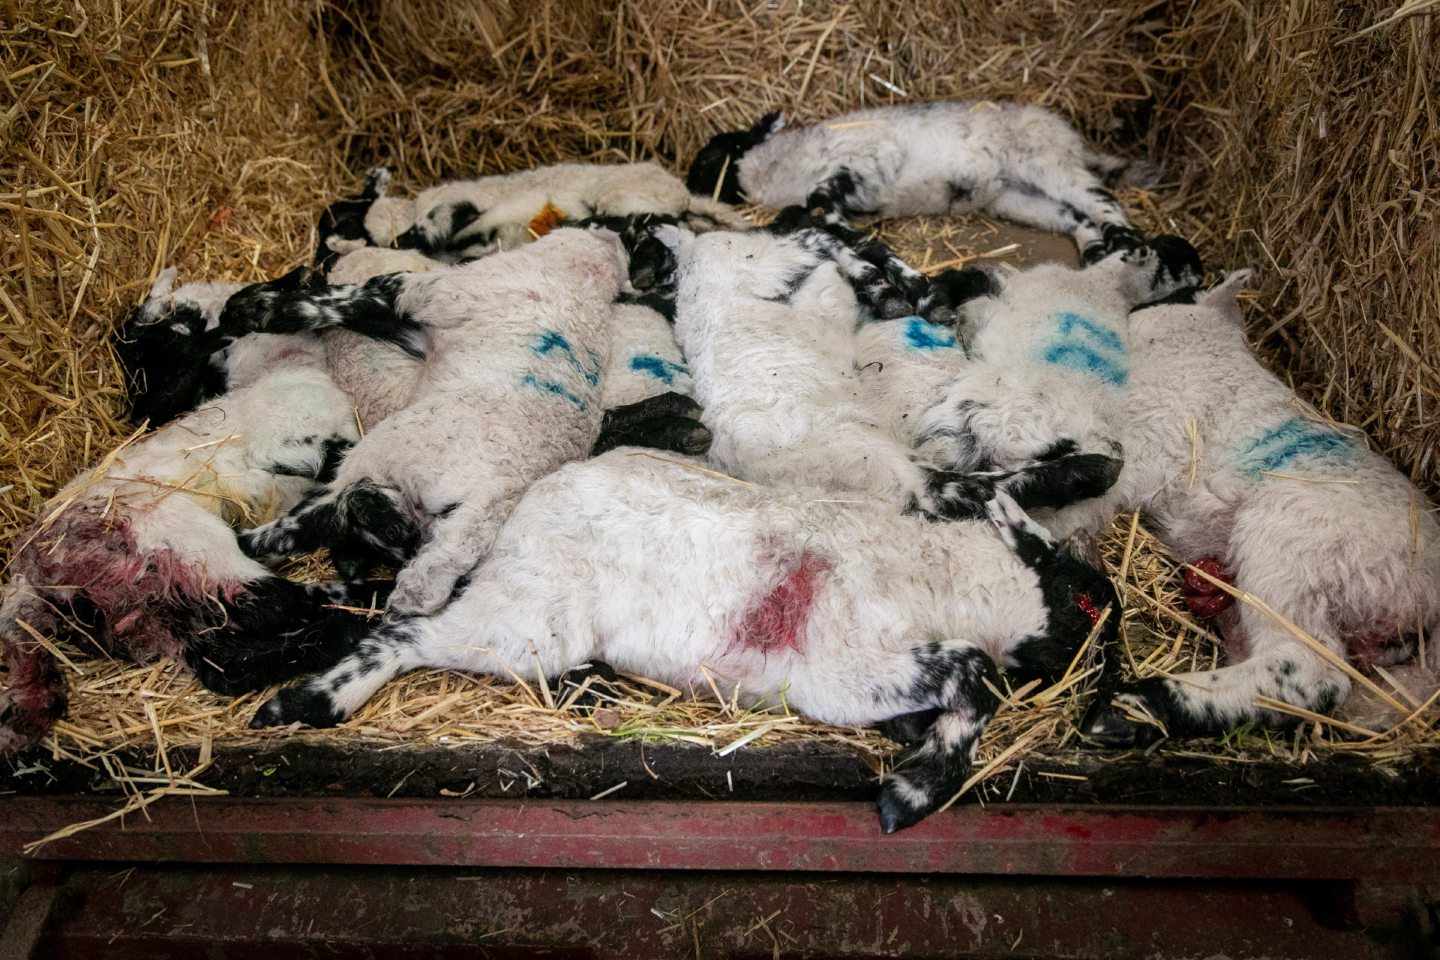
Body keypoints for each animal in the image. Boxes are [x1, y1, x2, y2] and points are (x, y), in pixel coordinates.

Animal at [0, 356, 385, 755]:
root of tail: (29, 573)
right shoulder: (297, 441)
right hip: (179, 541)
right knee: (271, 602)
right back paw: (361, 612)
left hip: (150, 608)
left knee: (223, 663)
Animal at [219, 228, 628, 615]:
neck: (578, 279)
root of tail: (496, 497)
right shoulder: (421, 328)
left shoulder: (428, 292)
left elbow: (346, 301)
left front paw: (257, 308)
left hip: (386, 455)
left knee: (329, 510)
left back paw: (247, 542)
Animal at [245, 449, 1120, 832]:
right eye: (1082, 597)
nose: (1089, 654)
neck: (935, 569)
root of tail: (528, 507)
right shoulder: (852, 670)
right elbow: (972, 677)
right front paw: (908, 797)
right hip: (528, 623)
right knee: (408, 629)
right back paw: (304, 703)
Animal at [687, 102, 1158, 265]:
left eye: (709, 157)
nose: (689, 186)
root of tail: (1072, 135)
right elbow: (826, 208)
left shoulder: (867, 155)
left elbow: (825, 195)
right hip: (1014, 196)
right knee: (1074, 215)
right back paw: (1094, 249)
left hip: (1046, 159)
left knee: (1098, 198)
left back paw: (1128, 242)